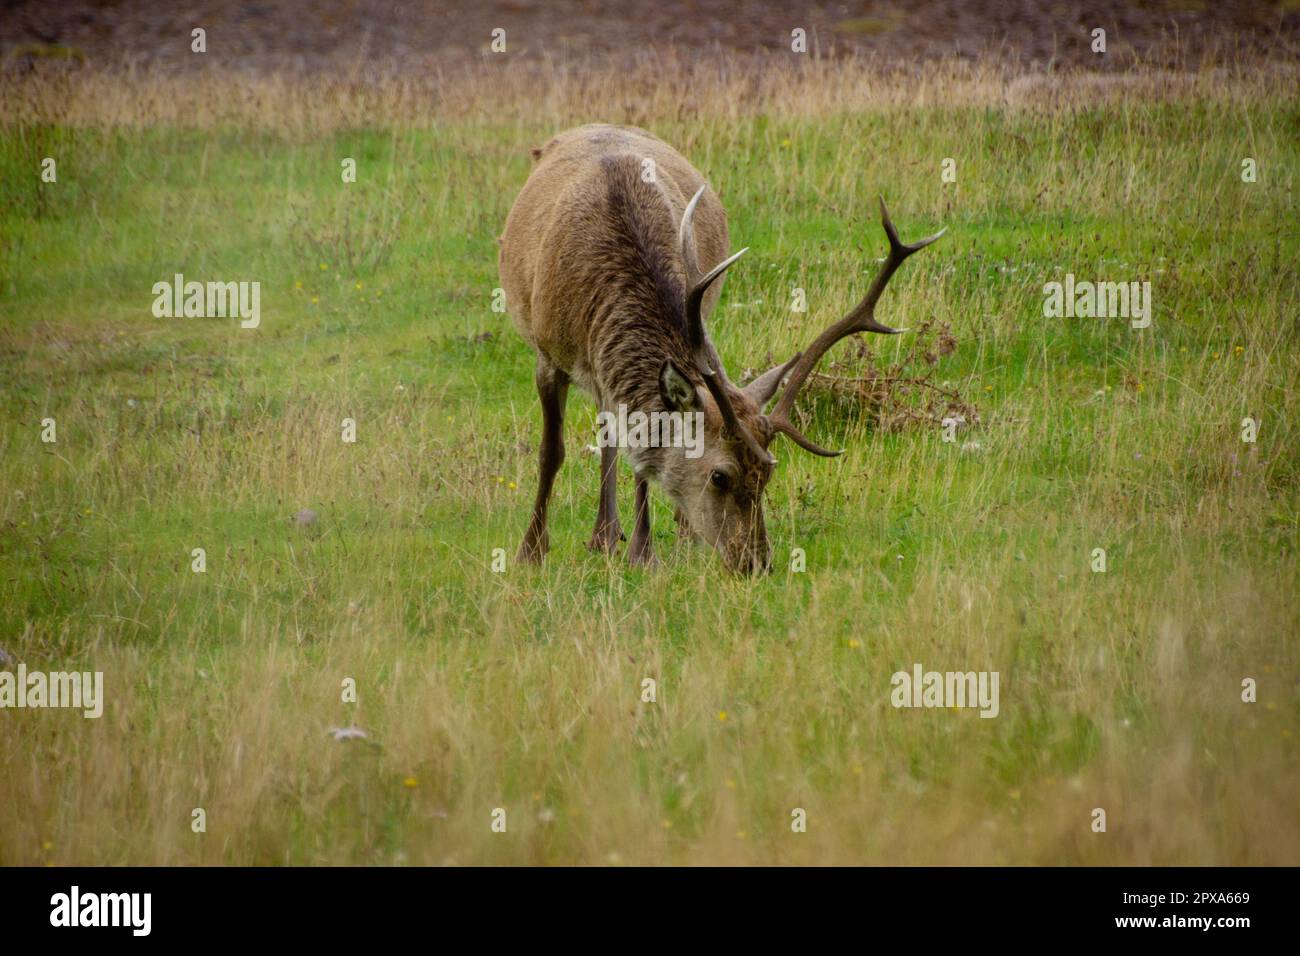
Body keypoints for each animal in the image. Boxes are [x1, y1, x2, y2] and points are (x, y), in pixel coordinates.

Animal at [498, 124, 944, 575]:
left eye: (768, 475)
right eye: (719, 476)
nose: (756, 562)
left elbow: (640, 453)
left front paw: (643, 553)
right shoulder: (547, 354)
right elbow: (551, 453)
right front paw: (530, 551)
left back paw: (637, 536)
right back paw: (604, 536)